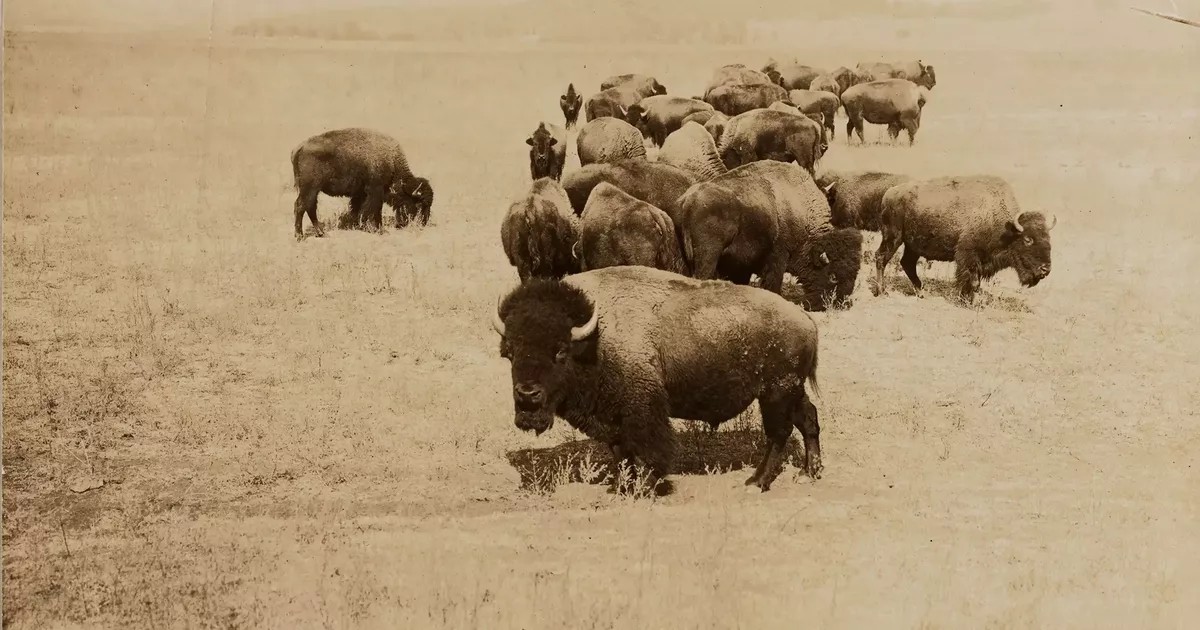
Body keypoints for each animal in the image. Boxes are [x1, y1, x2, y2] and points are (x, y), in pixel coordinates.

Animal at [290, 127, 433, 239]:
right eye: (419, 204)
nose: (423, 223)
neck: (391, 162)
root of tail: (300, 147)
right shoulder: (375, 191)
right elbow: (373, 209)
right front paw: (377, 229)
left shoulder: (362, 193)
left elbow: (359, 208)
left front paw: (359, 225)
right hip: (310, 189)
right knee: (301, 206)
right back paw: (301, 236)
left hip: (313, 191)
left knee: (309, 207)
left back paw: (319, 233)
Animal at [491, 265, 824, 495]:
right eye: (509, 352)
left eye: (560, 351)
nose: (527, 394)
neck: (595, 339)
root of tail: (806, 321)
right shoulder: (613, 416)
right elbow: (620, 452)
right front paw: (623, 486)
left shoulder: (642, 408)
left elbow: (647, 448)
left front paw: (647, 486)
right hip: (791, 391)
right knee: (808, 419)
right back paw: (811, 472)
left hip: (775, 393)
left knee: (779, 433)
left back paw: (756, 482)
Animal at [676, 160, 864, 310]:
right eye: (833, 277)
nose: (838, 305)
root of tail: (689, 200)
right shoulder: (776, 258)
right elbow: (773, 282)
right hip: (708, 257)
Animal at [875, 174, 1056, 303]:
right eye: (1028, 239)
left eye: (1048, 238)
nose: (1045, 269)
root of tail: (889, 193)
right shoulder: (969, 255)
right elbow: (972, 281)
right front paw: (971, 302)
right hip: (893, 237)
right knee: (881, 257)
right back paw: (881, 292)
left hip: (912, 245)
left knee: (907, 263)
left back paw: (921, 292)